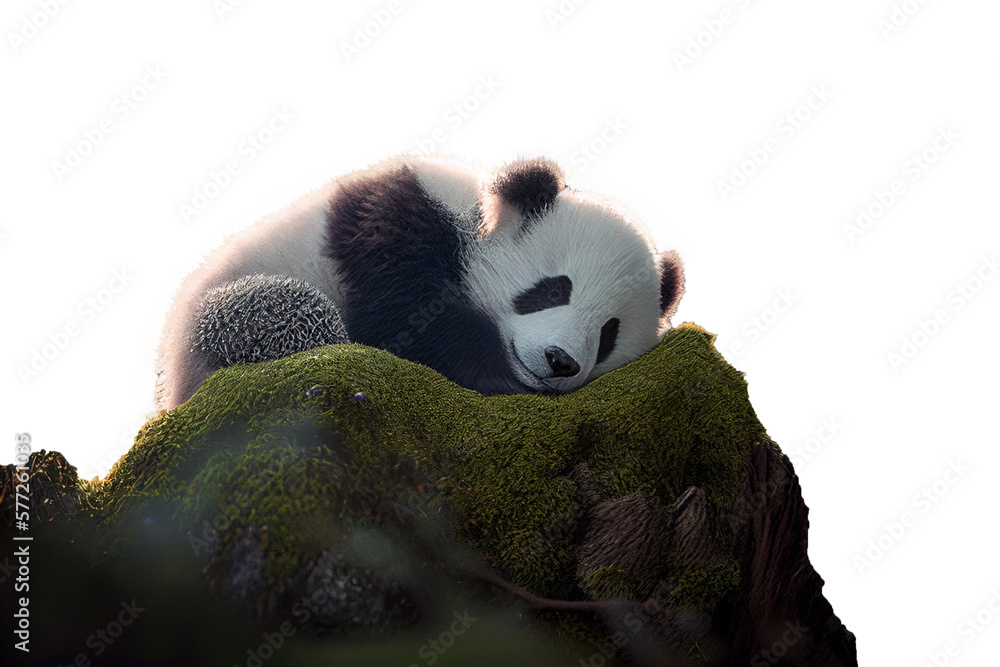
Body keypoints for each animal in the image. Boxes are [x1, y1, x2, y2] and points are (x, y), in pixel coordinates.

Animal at [155, 156, 685, 411]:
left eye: (610, 332)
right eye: (553, 289)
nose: (561, 362)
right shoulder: (396, 219)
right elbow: (407, 316)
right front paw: (495, 377)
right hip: (225, 317)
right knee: (287, 312)